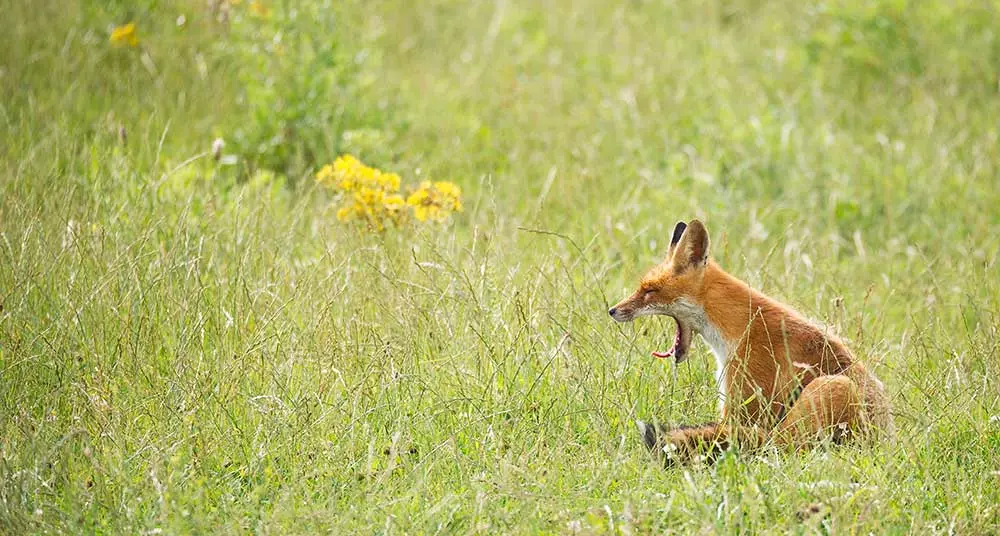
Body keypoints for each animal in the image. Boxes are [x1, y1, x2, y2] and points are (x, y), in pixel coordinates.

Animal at [604, 220, 896, 462]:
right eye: (642, 287)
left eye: (649, 290)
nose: (612, 310)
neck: (737, 327)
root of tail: (884, 444)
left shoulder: (745, 400)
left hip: (831, 390)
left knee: (780, 448)